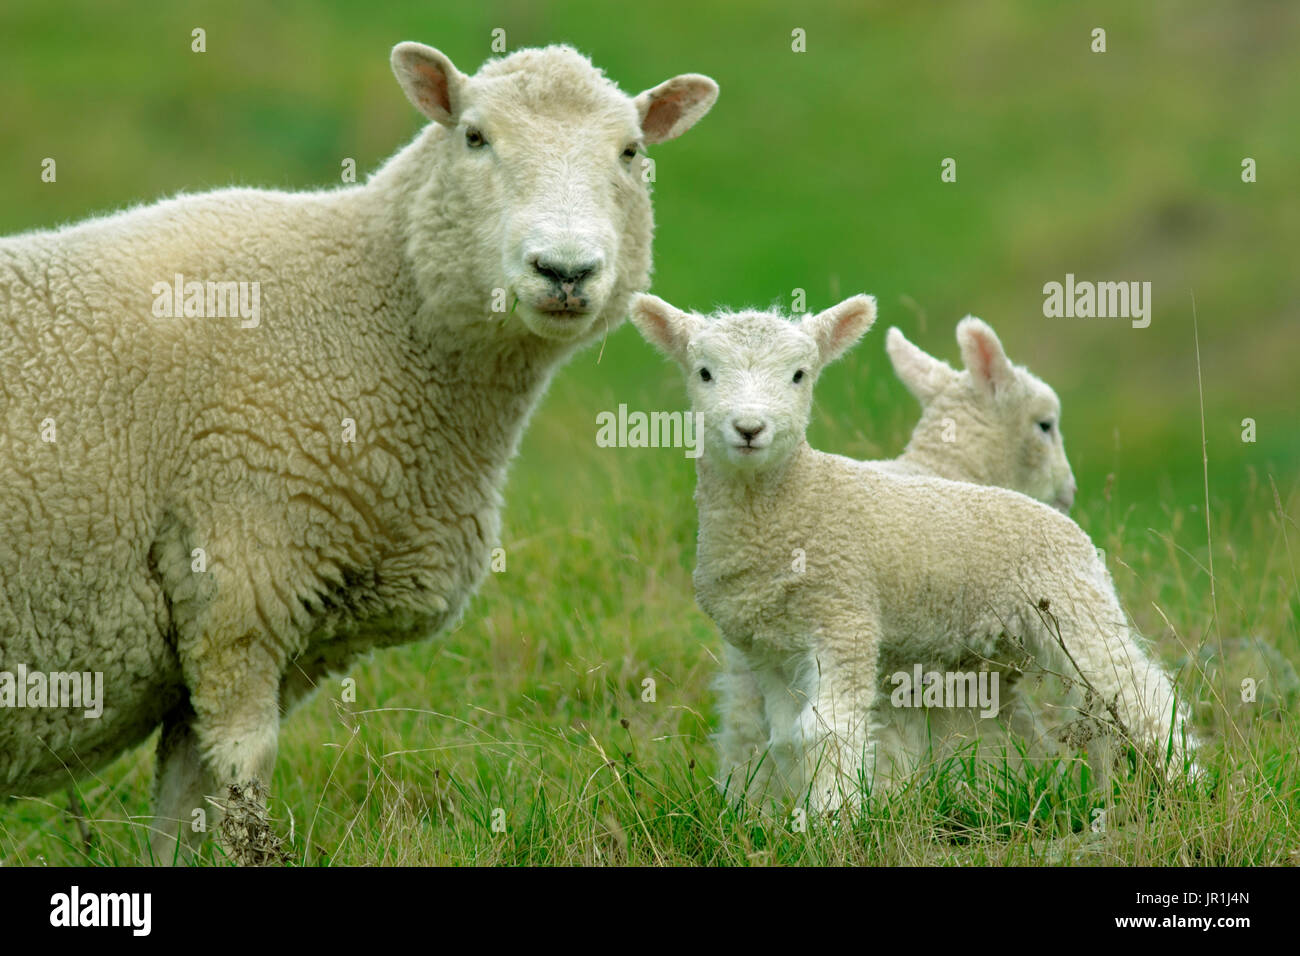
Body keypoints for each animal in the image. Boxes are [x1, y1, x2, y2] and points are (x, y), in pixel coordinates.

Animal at [0, 42, 718, 861]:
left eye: (630, 152)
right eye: (475, 137)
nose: (564, 271)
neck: (370, 309)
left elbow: (185, 811)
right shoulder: (241, 575)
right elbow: (243, 779)